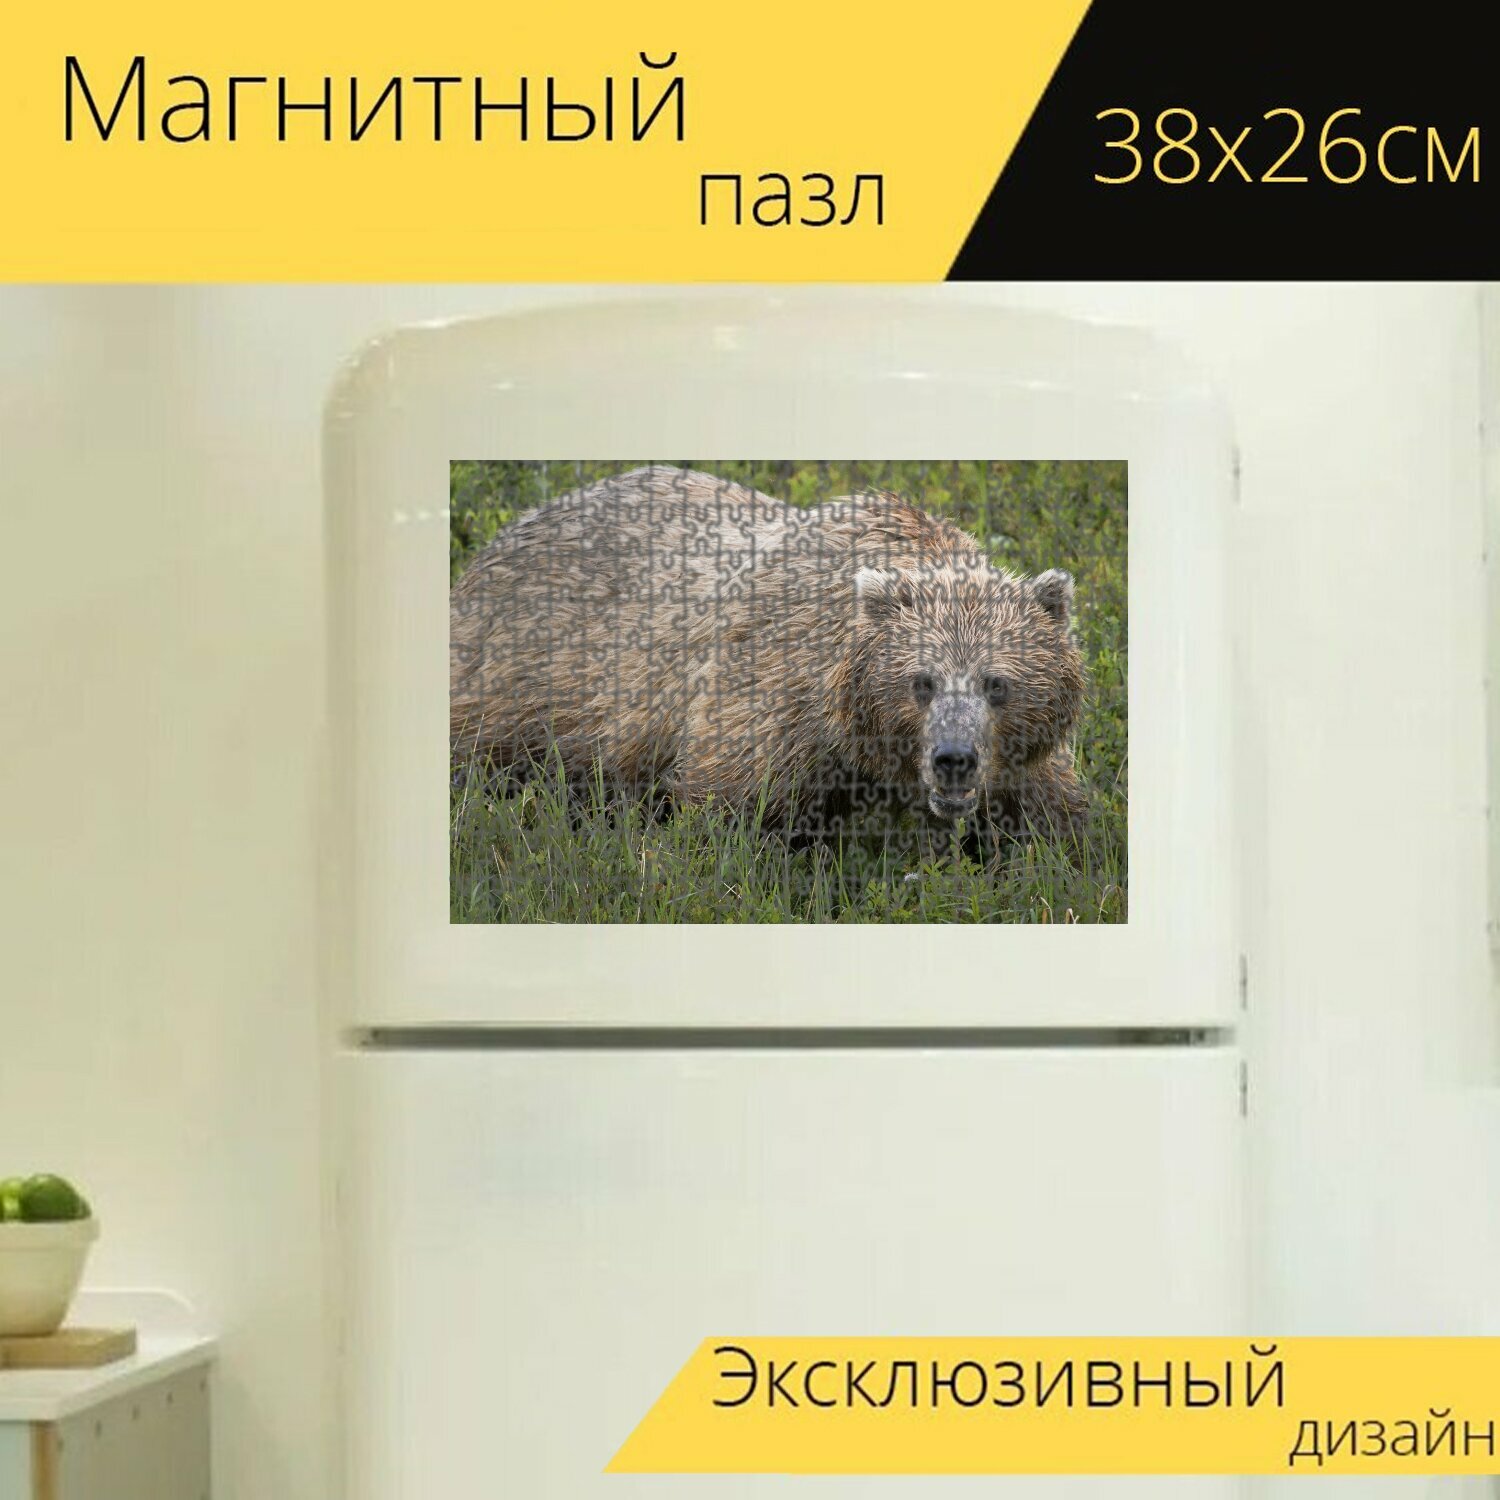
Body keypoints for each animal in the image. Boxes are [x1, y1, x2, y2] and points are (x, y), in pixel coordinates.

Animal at [450, 465, 1088, 845]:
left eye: (996, 682)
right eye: (921, 681)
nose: (954, 758)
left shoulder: (1019, 761)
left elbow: (1049, 820)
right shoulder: (764, 696)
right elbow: (730, 812)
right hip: (516, 677)